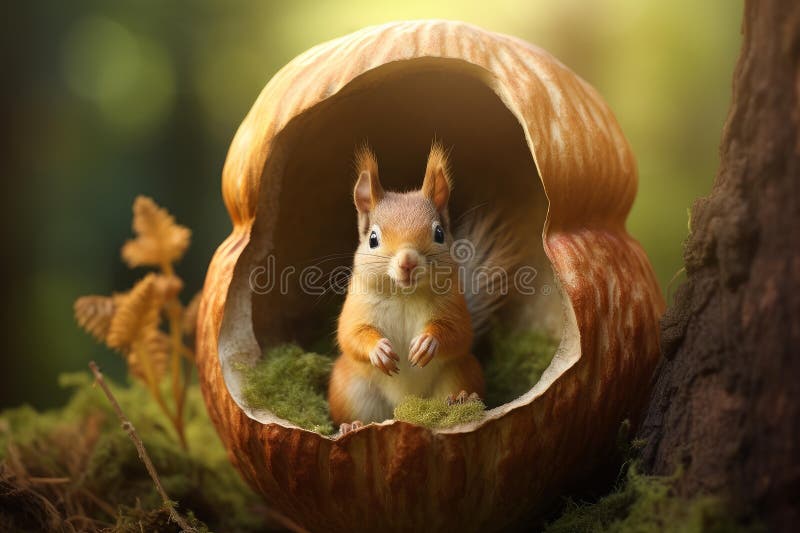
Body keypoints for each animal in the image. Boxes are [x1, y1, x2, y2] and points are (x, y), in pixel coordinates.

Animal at [328, 142, 521, 433]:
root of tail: (404, 407)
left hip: (459, 372)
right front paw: (379, 350)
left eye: (439, 233)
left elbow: (458, 332)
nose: (407, 261)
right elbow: (350, 334)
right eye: (373, 238)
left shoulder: (453, 305)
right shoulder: (357, 306)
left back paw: (461, 400)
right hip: (350, 388)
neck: (404, 295)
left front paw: (427, 343)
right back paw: (353, 426)